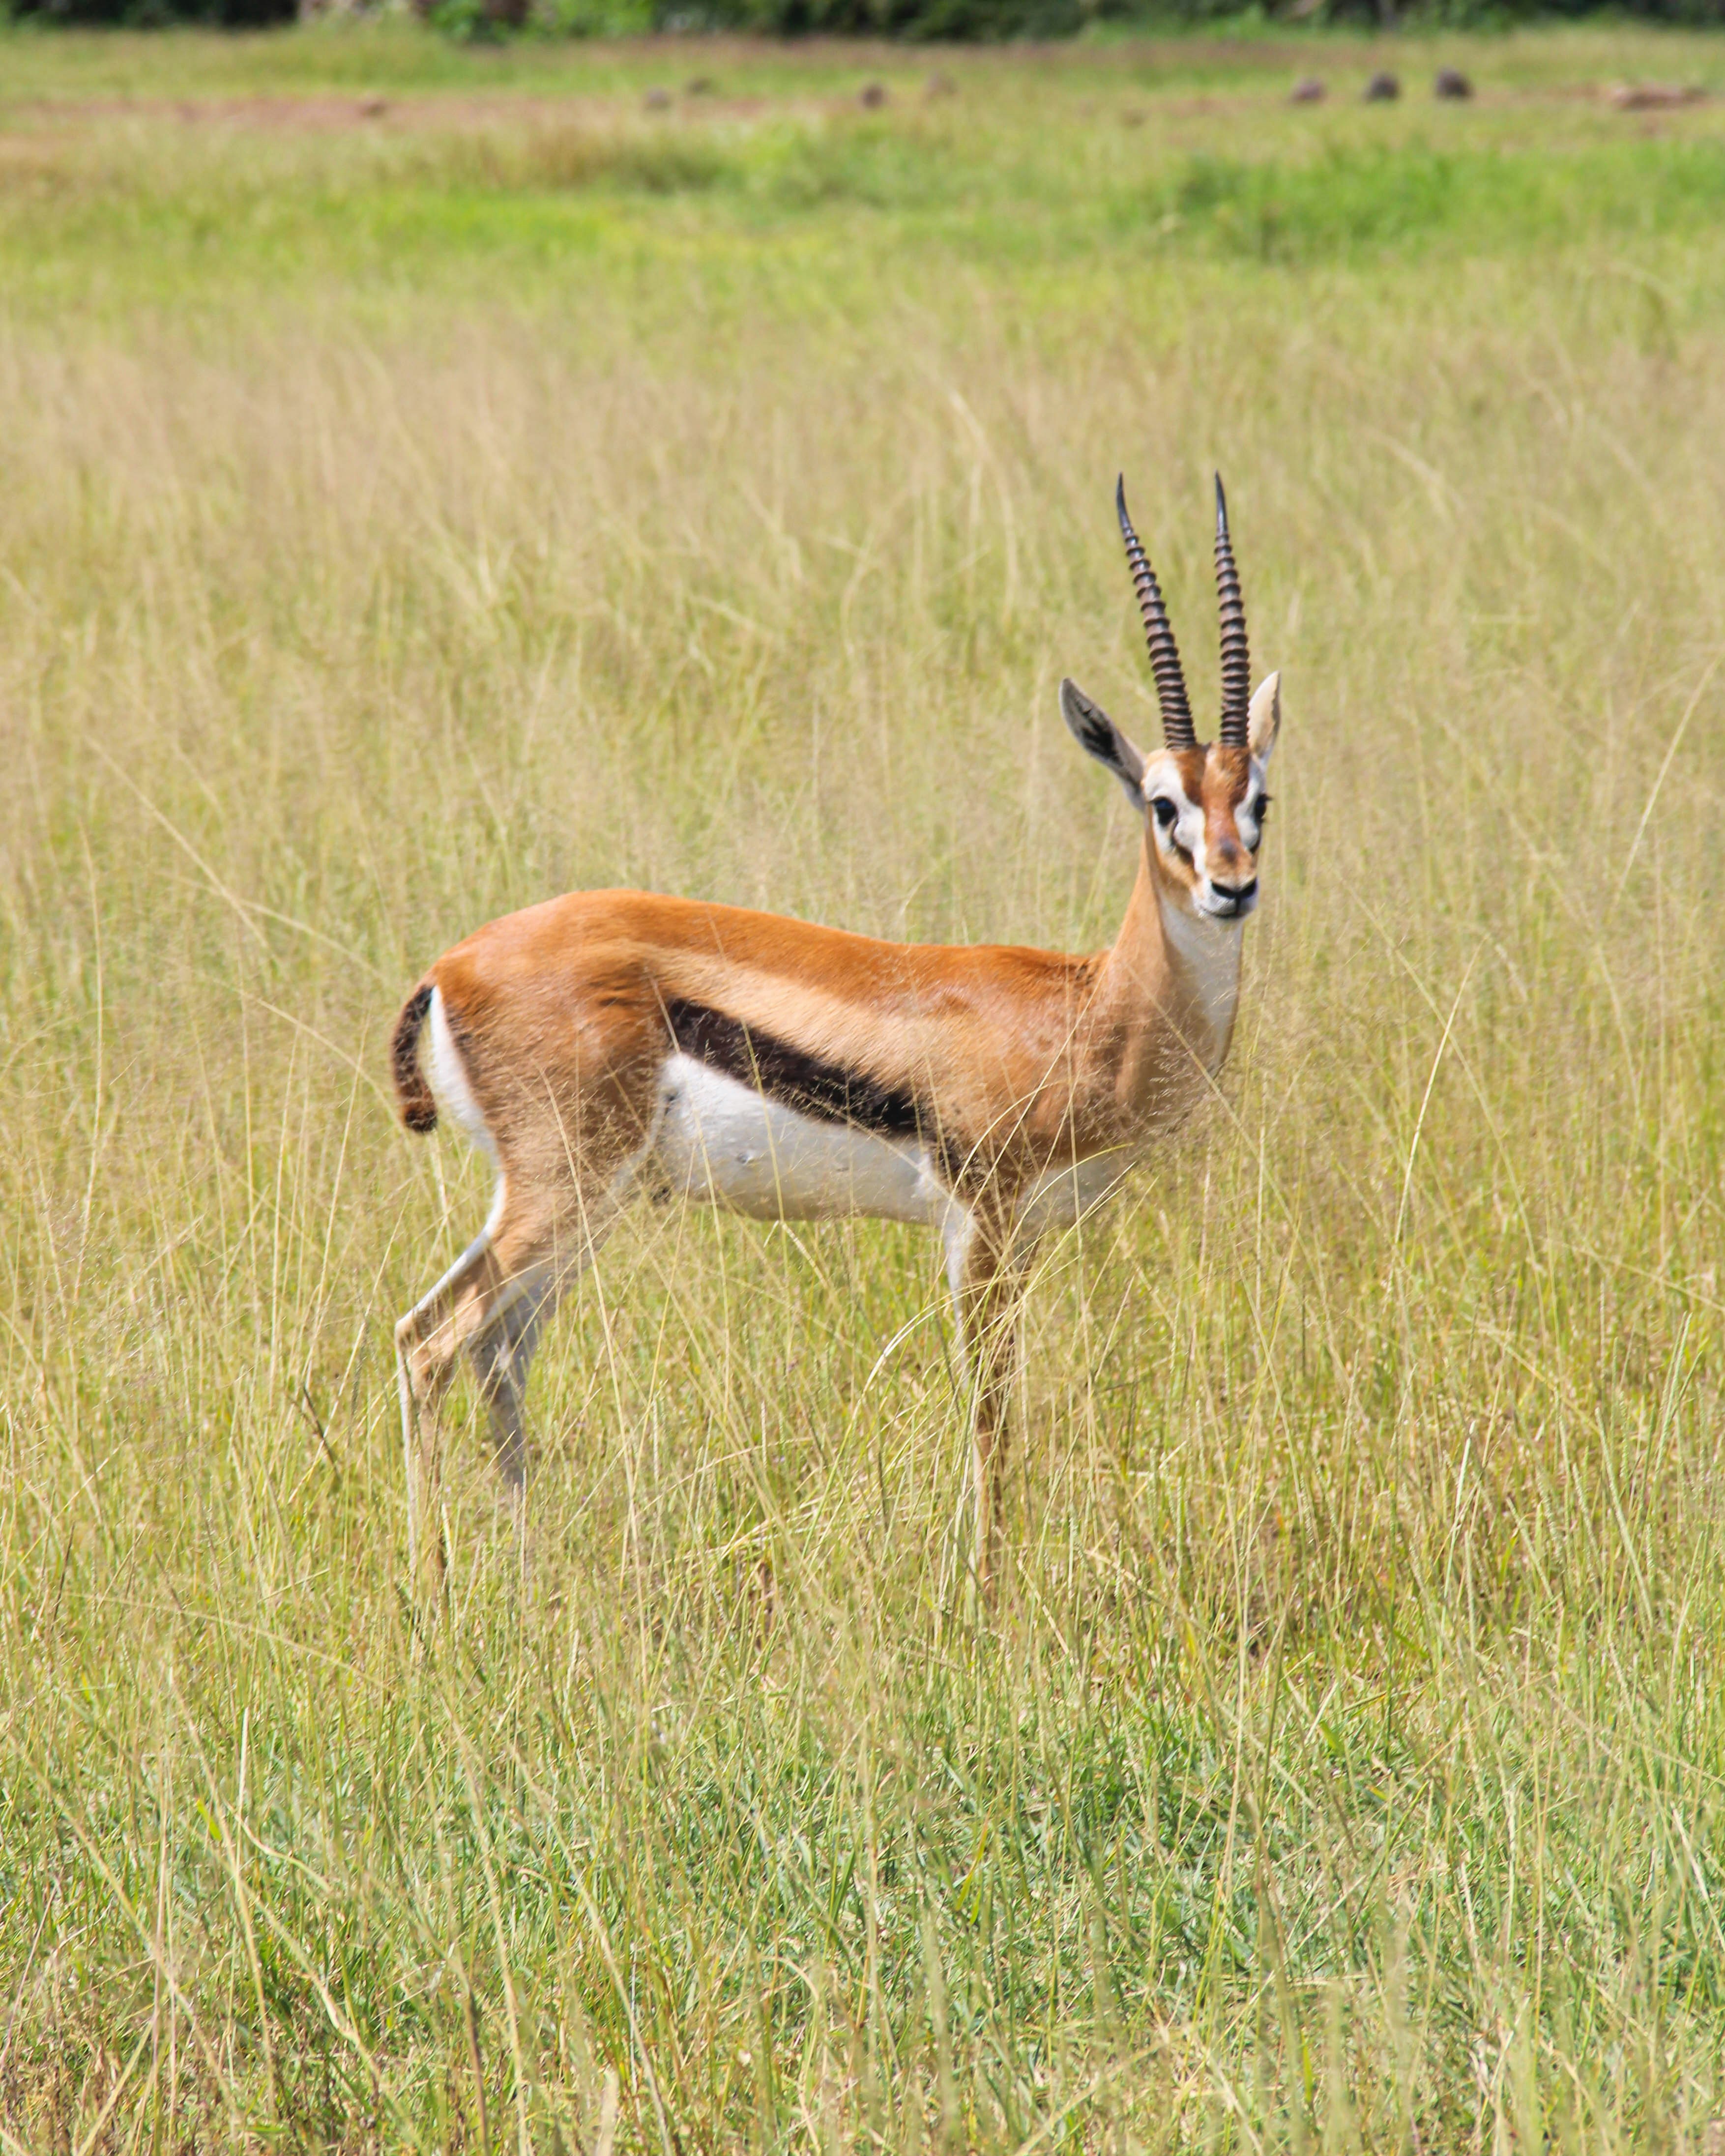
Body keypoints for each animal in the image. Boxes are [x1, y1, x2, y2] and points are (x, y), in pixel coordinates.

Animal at [391, 477, 1282, 1596]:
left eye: (1257, 800)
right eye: (1163, 804)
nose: (1230, 888)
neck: (1089, 1010)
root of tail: (449, 967)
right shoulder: (980, 1228)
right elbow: (991, 1412)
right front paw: (987, 1595)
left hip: (577, 1205)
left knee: (496, 1353)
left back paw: (527, 1577)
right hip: (561, 1190)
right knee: (430, 1343)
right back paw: (437, 1590)